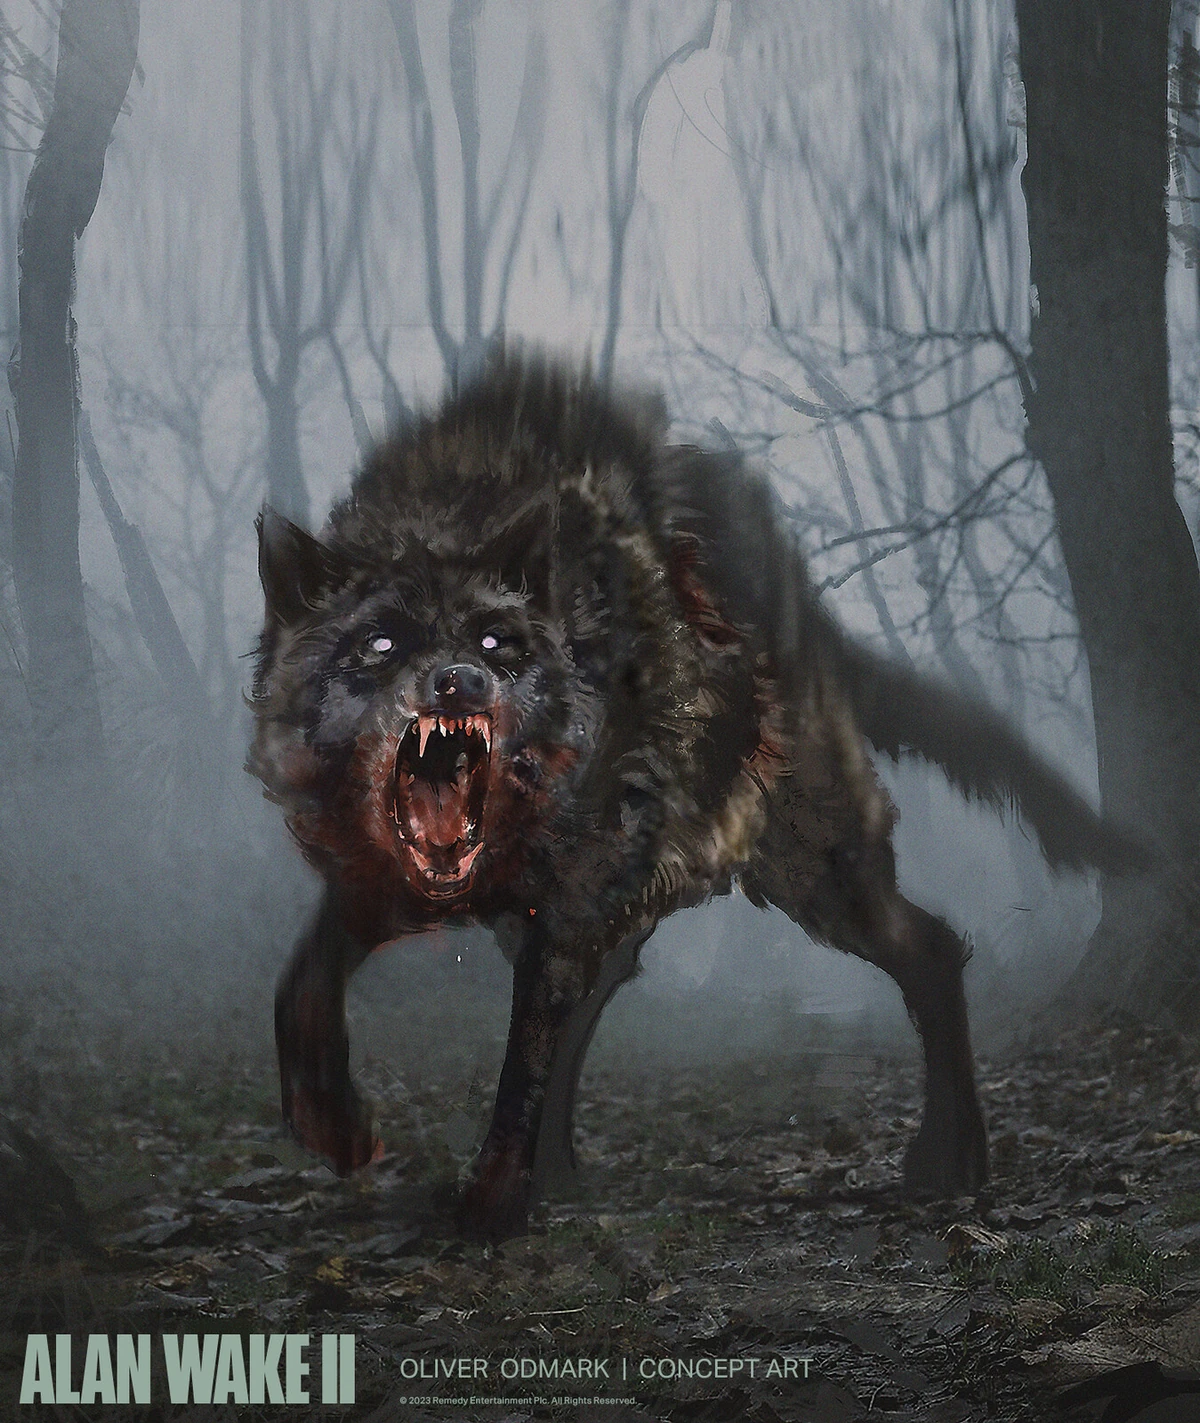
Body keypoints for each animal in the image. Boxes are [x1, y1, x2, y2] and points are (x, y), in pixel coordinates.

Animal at [249, 351, 1138, 1241]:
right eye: (381, 642)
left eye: (498, 641)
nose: (459, 680)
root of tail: (801, 604)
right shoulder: (387, 883)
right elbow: (301, 987)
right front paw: (334, 1124)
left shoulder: (570, 896)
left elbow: (521, 1063)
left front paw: (489, 1207)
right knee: (598, 999)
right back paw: (560, 1172)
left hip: (813, 867)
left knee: (932, 946)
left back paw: (951, 1157)